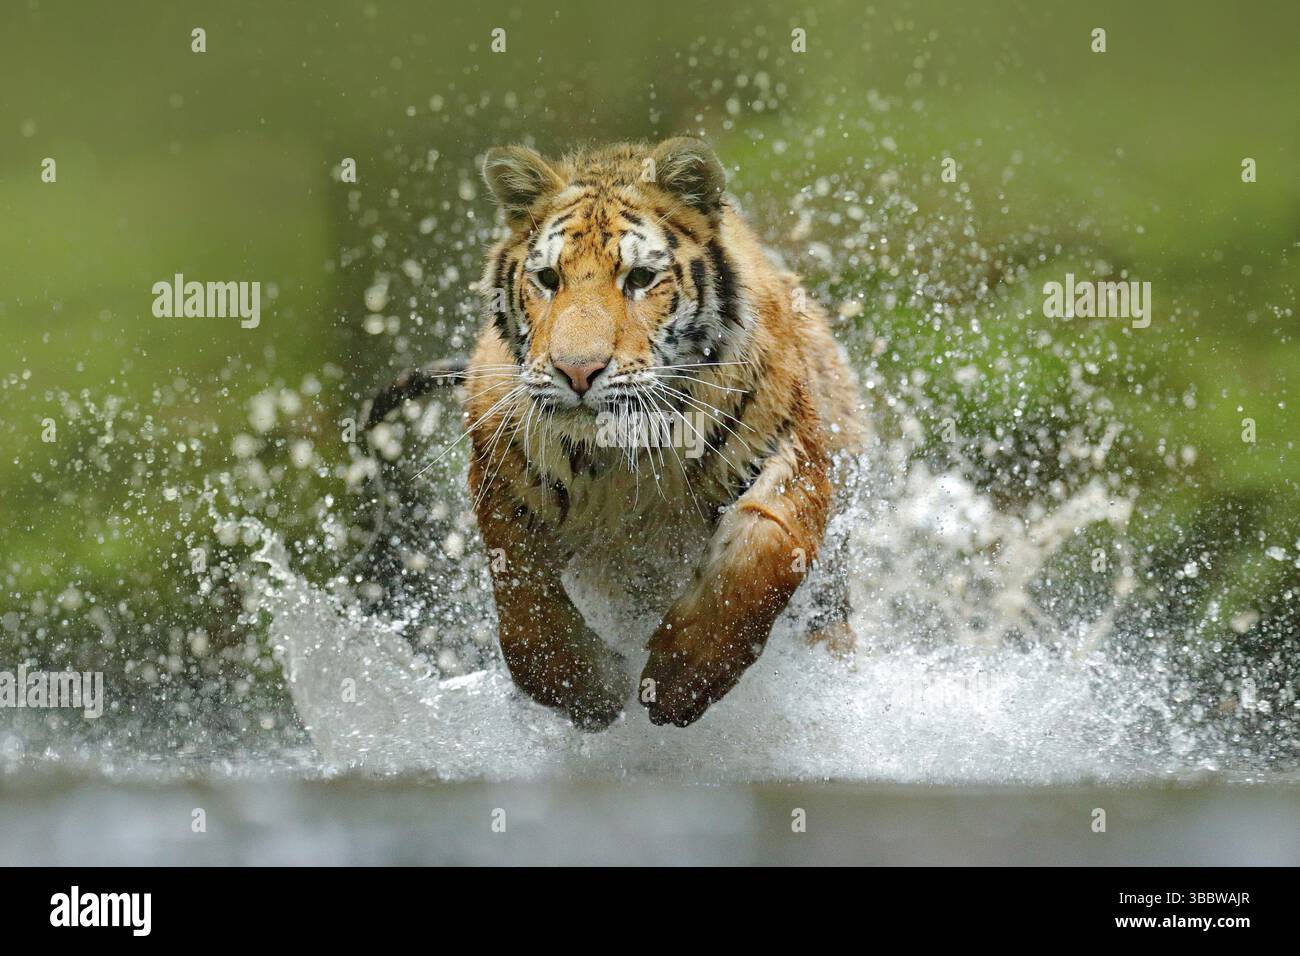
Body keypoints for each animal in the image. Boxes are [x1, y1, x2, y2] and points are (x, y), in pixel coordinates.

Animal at [463, 138, 863, 729]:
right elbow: (522, 608)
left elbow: (760, 556)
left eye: (639, 279)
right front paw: (590, 688)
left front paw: (680, 679)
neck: (620, 460)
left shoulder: (792, 450)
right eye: (549, 279)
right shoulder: (499, 474)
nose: (576, 372)